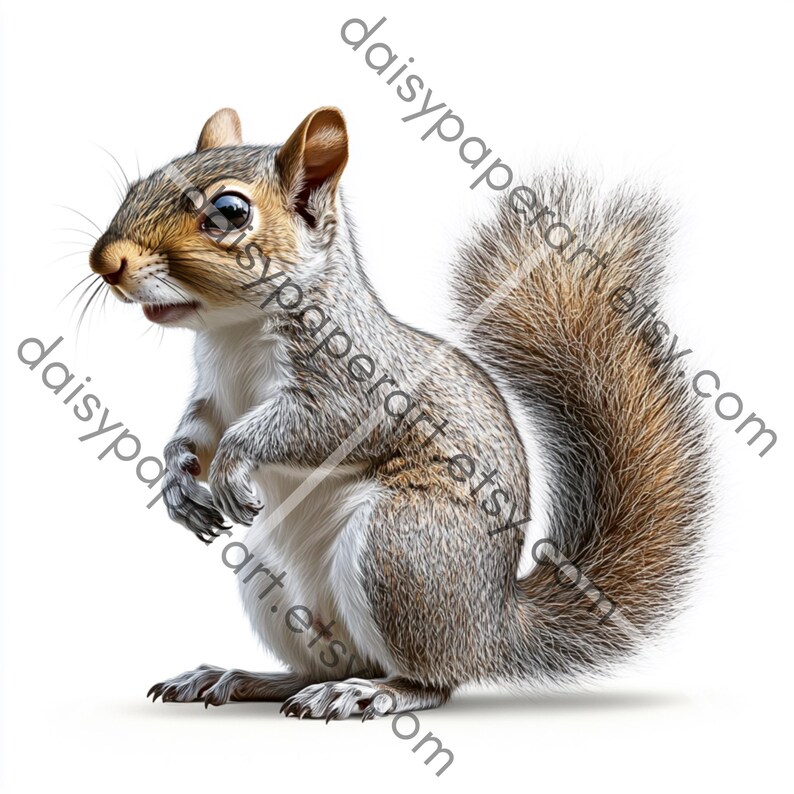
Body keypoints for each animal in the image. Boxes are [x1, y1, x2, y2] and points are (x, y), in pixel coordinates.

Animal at [87, 107, 711, 719]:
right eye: (138, 186)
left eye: (228, 212)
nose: (105, 262)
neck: (234, 333)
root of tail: (493, 629)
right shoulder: (213, 394)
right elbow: (196, 432)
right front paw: (178, 482)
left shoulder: (359, 386)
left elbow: (308, 427)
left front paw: (230, 466)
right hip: (273, 575)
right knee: (325, 665)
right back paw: (242, 678)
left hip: (401, 550)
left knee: (430, 679)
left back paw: (371, 693)